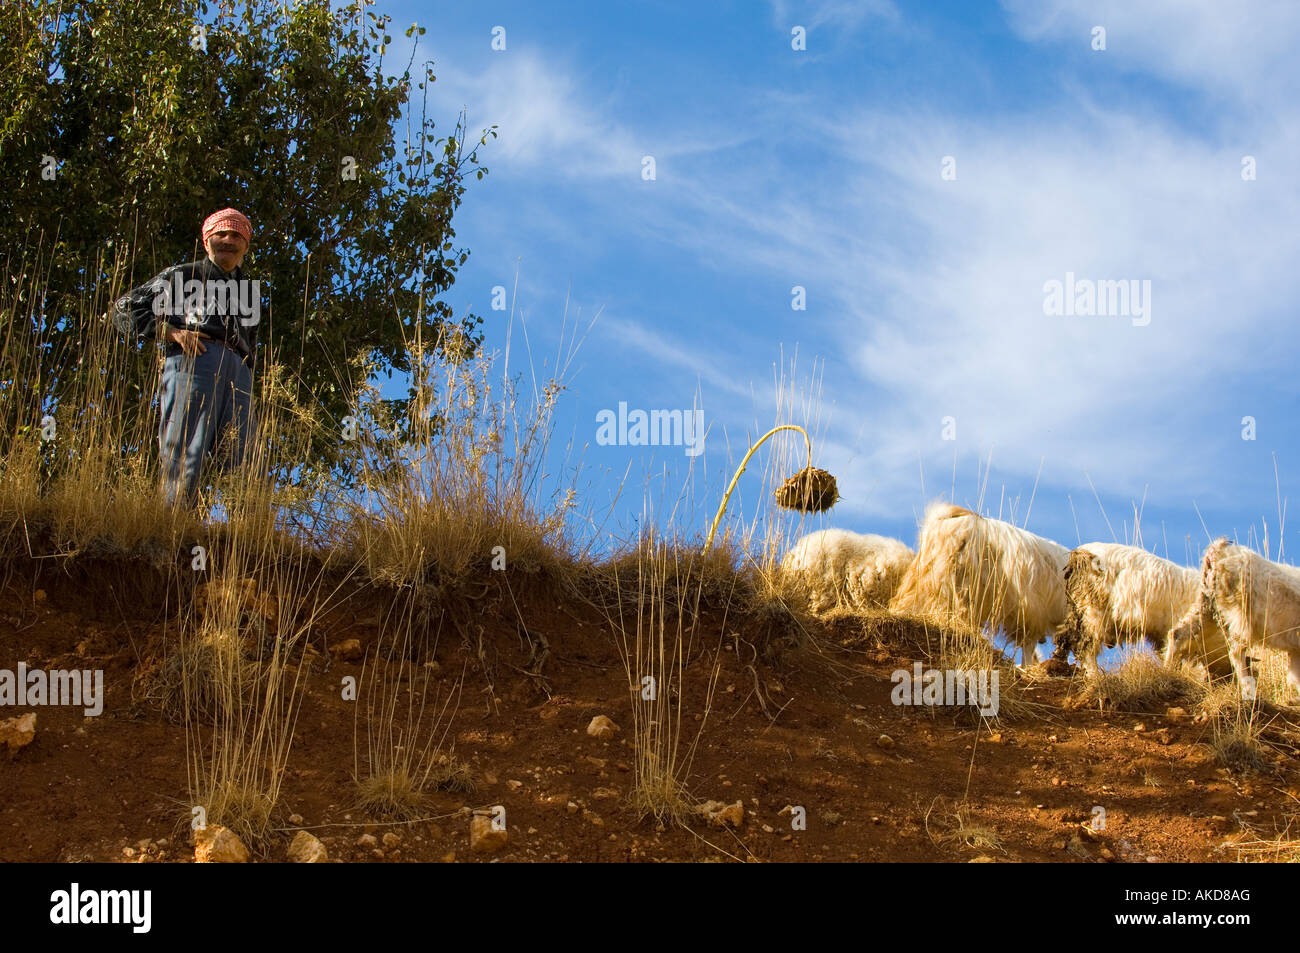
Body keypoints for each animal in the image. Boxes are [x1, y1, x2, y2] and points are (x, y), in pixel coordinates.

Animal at [1055, 543, 1200, 676]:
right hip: (1092, 610)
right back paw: (1095, 676)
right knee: (1085, 645)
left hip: (1079, 608)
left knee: (1066, 636)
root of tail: (1079, 554)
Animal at [1165, 538, 1300, 697]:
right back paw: (1248, 691)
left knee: (1177, 633)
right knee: (1236, 652)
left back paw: (1168, 671)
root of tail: (1217, 552)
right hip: (1239, 615)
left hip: (1207, 607)